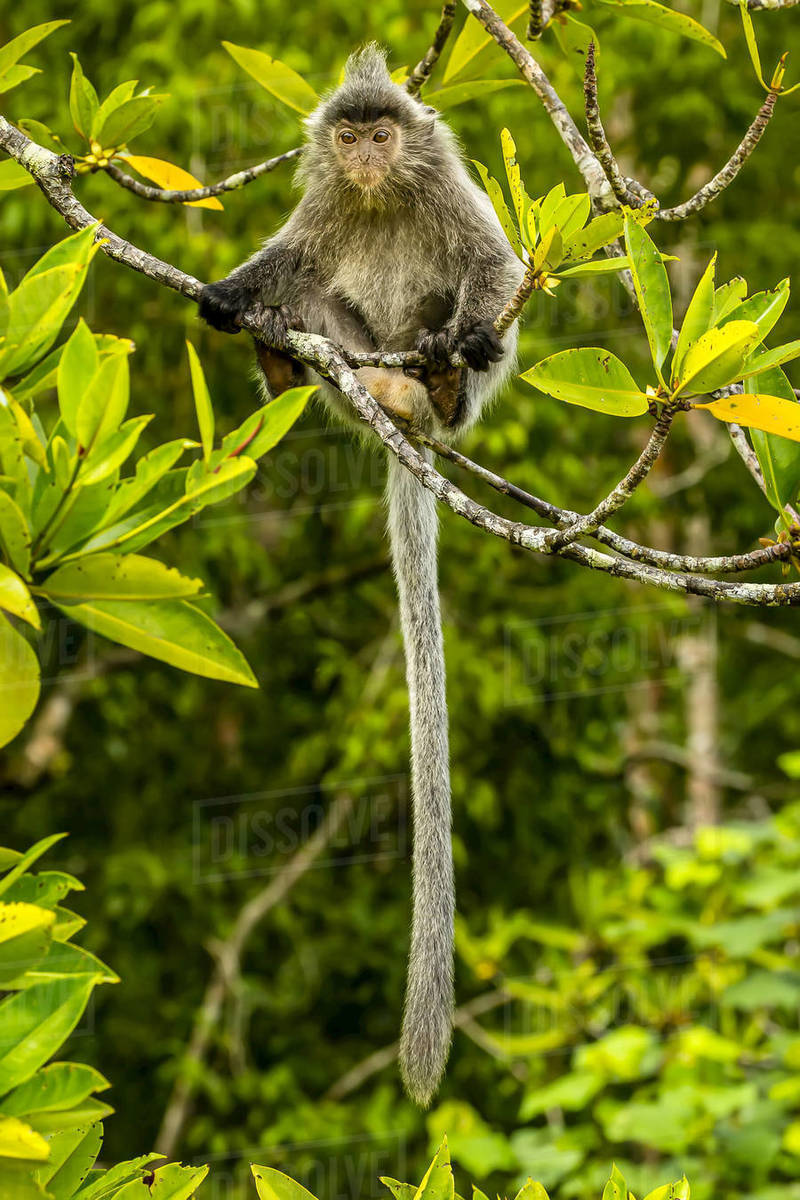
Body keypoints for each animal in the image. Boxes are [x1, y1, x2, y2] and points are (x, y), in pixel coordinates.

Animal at [199, 45, 524, 1107]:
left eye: (386, 133)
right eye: (349, 137)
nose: (369, 155)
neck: (381, 196)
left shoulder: (453, 191)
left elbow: (497, 268)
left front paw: (469, 346)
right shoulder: (322, 206)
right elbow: (288, 260)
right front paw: (235, 297)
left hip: (433, 365)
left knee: (452, 326)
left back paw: (437, 381)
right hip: (340, 341)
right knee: (312, 315)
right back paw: (283, 357)